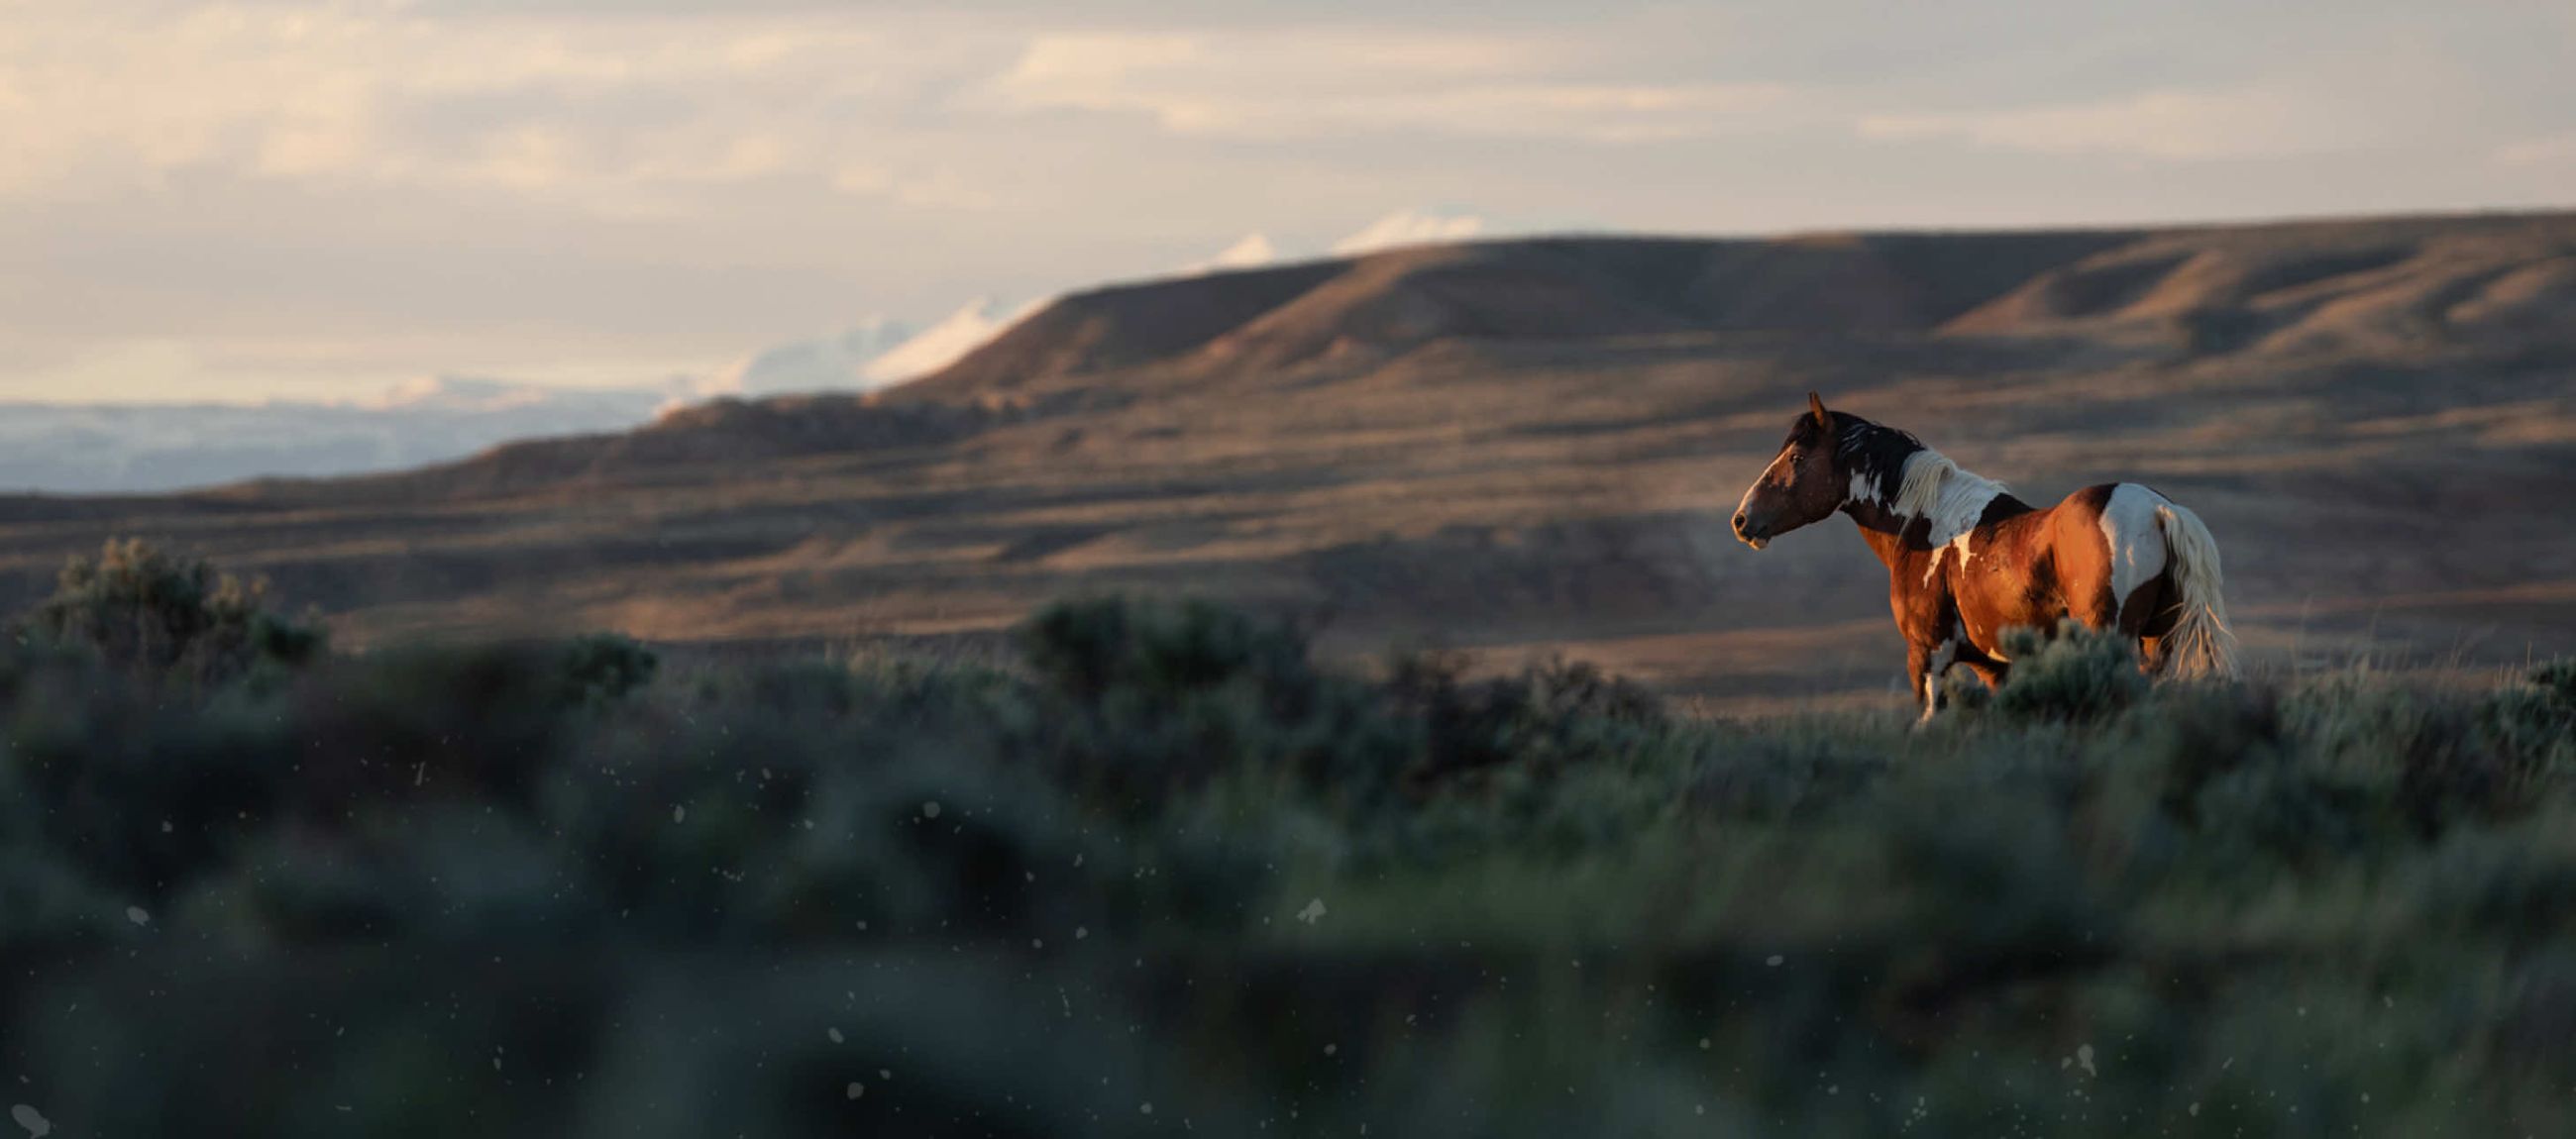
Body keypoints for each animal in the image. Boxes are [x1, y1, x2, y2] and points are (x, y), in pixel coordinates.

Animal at [1730, 392, 2237, 719]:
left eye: (1796, 458)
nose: (1742, 519)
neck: (1926, 522)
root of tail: (2157, 509)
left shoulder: (1927, 656)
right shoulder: (1995, 668)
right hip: (2156, 644)